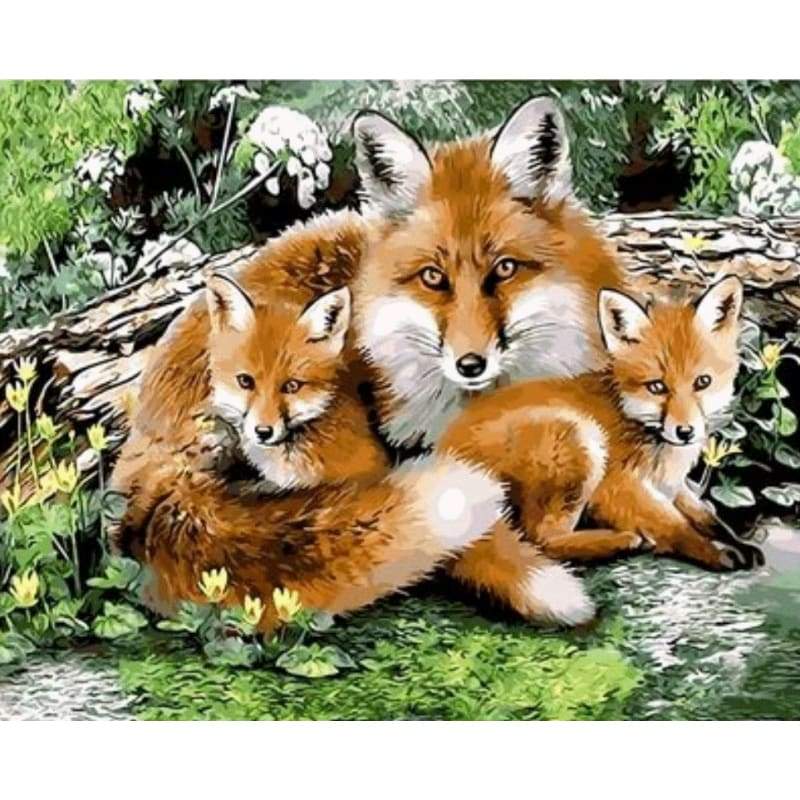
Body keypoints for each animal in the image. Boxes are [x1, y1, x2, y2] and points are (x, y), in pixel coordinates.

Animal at [437, 275, 764, 571]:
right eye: (657, 387)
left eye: (702, 382)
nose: (685, 432)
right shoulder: (614, 488)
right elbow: (676, 525)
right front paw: (716, 551)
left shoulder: (671, 486)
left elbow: (708, 517)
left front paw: (737, 542)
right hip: (580, 440)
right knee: (542, 541)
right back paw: (622, 541)